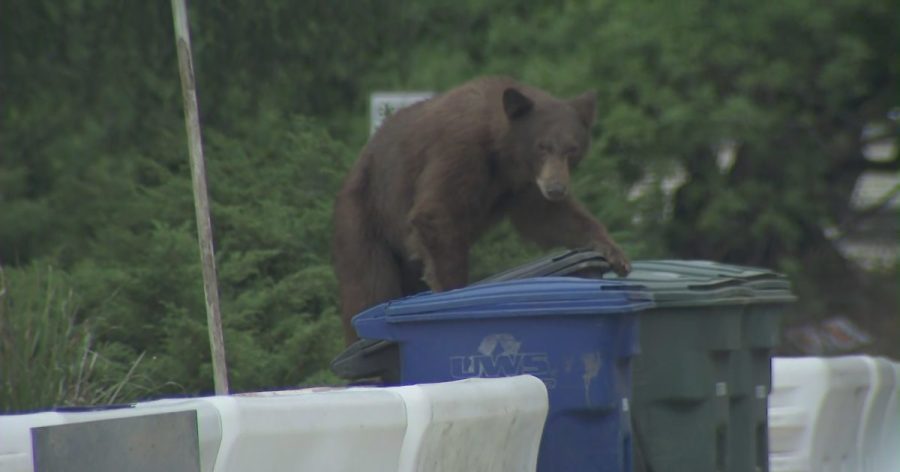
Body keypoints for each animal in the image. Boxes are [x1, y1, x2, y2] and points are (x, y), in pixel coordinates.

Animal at [333, 76, 631, 345]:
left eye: (572, 150)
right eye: (542, 147)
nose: (557, 188)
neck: (501, 149)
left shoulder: (522, 184)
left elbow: (547, 216)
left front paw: (613, 251)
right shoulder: (460, 150)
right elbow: (437, 211)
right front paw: (452, 291)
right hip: (365, 217)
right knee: (370, 285)